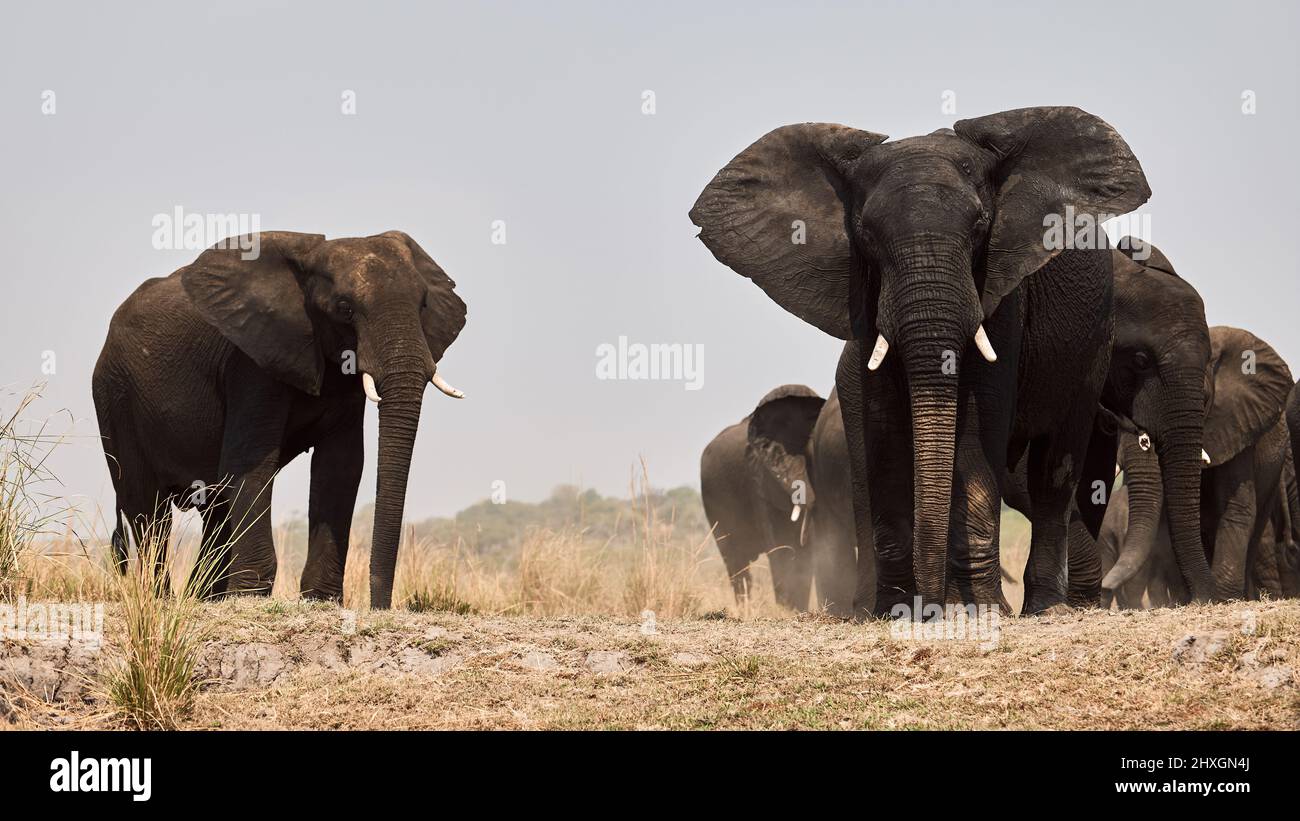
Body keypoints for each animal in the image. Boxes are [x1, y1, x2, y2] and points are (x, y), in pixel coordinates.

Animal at [92, 230, 467, 609]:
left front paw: (320, 601)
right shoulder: (250, 363)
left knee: (213, 508)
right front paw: (250, 598)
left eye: (423, 305)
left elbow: (340, 467)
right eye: (344, 309)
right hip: (114, 397)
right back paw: (163, 601)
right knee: (148, 510)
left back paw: (204, 600)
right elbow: (250, 463)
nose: (380, 606)